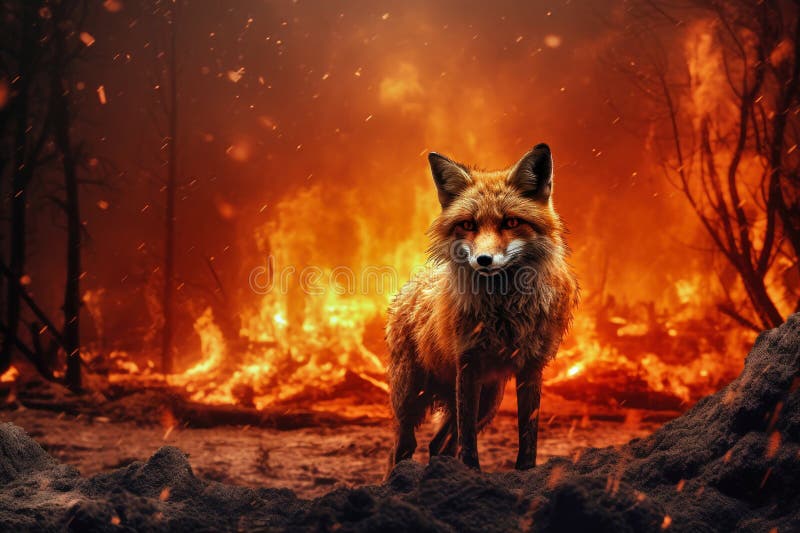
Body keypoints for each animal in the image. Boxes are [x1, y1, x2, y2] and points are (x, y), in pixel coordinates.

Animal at [385, 143, 578, 473]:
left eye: (511, 222)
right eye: (468, 225)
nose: (484, 260)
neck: (504, 311)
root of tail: (408, 288)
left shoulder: (531, 367)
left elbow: (528, 435)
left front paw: (524, 472)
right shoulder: (468, 364)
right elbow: (468, 444)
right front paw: (471, 471)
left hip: (489, 400)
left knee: (438, 445)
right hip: (411, 397)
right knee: (403, 448)